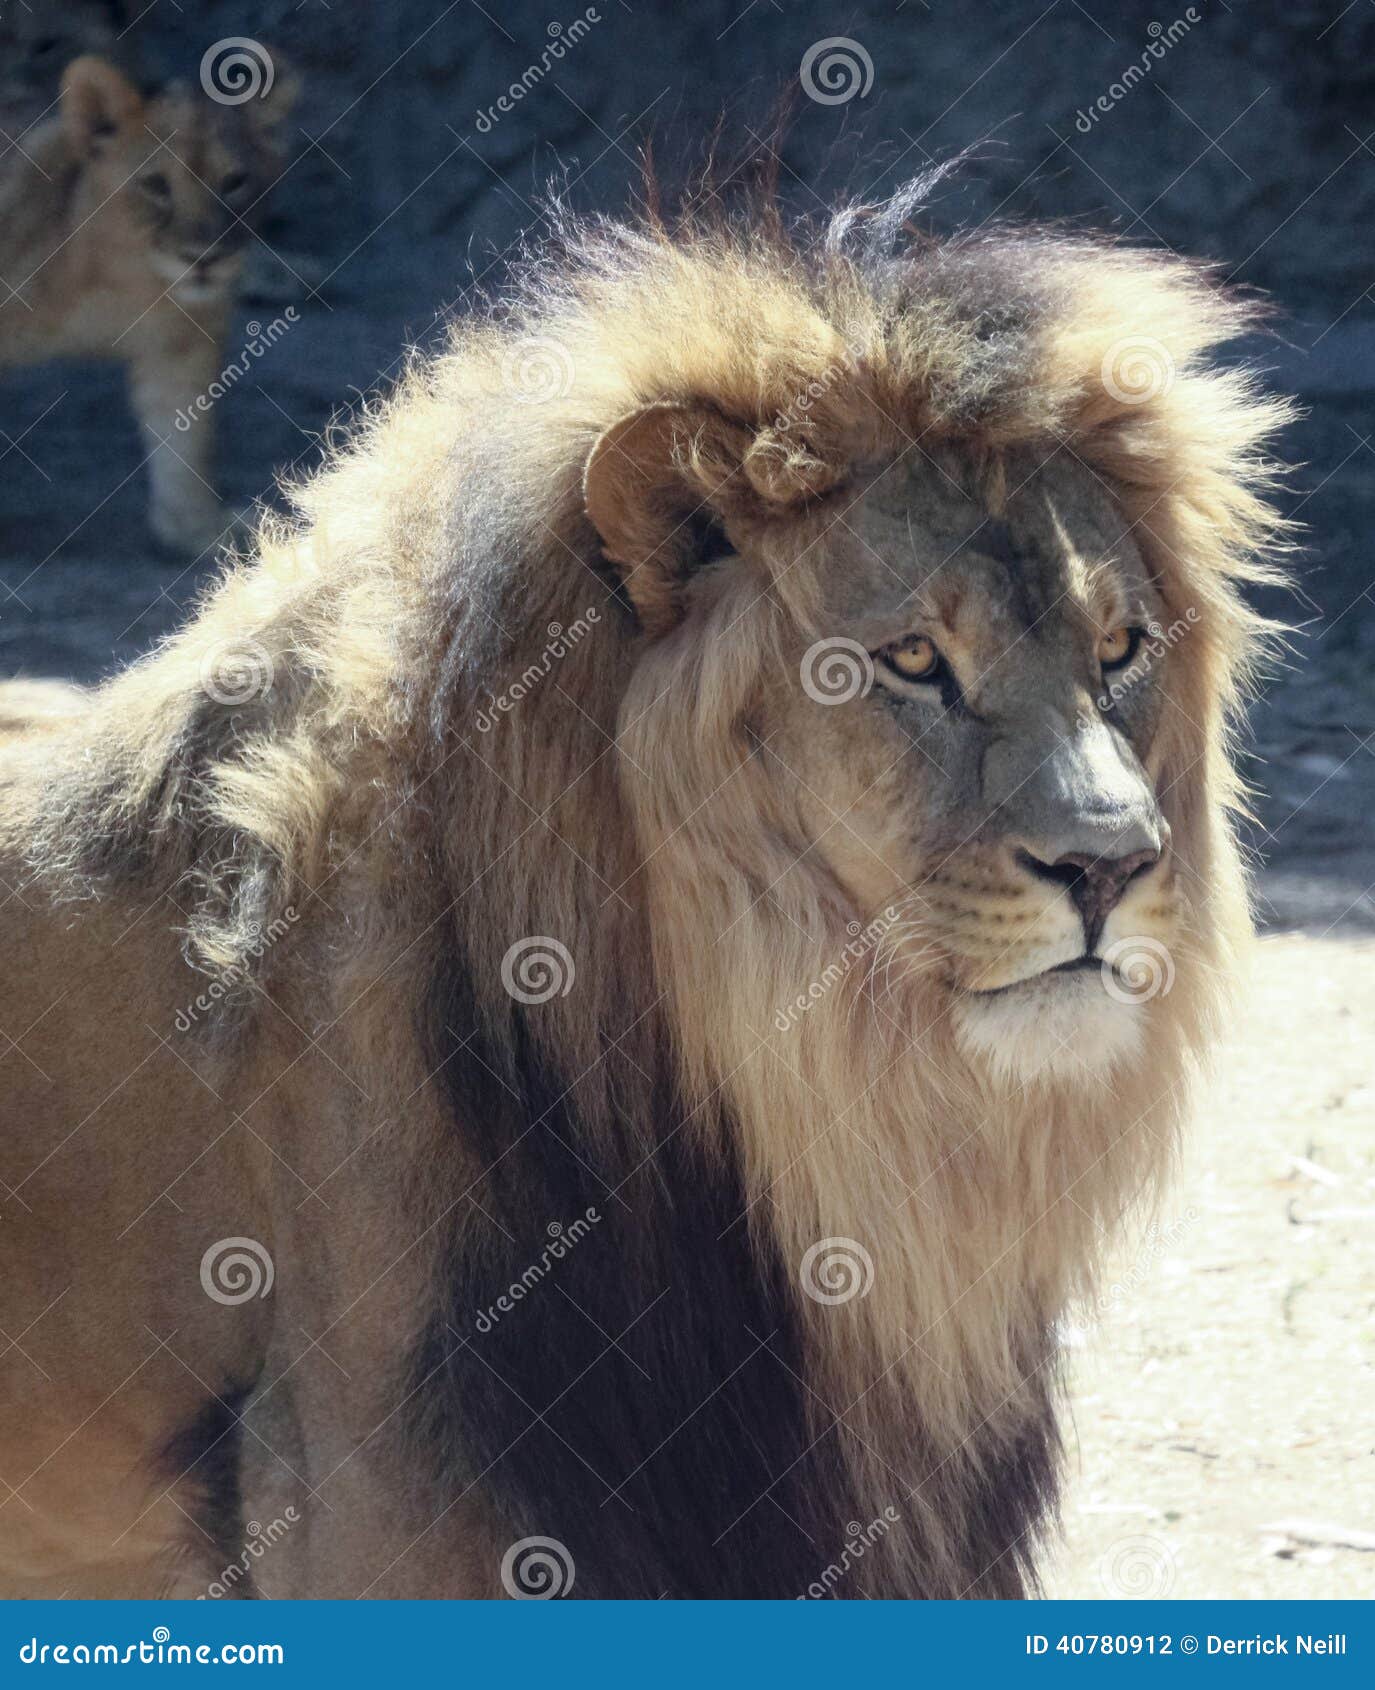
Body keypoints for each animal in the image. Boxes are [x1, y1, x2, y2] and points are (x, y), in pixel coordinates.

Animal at [0, 53, 296, 555]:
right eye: (156, 184)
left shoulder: (183, 341)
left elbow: (184, 442)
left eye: (235, 181)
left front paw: (198, 529)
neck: (125, 277)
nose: (204, 259)